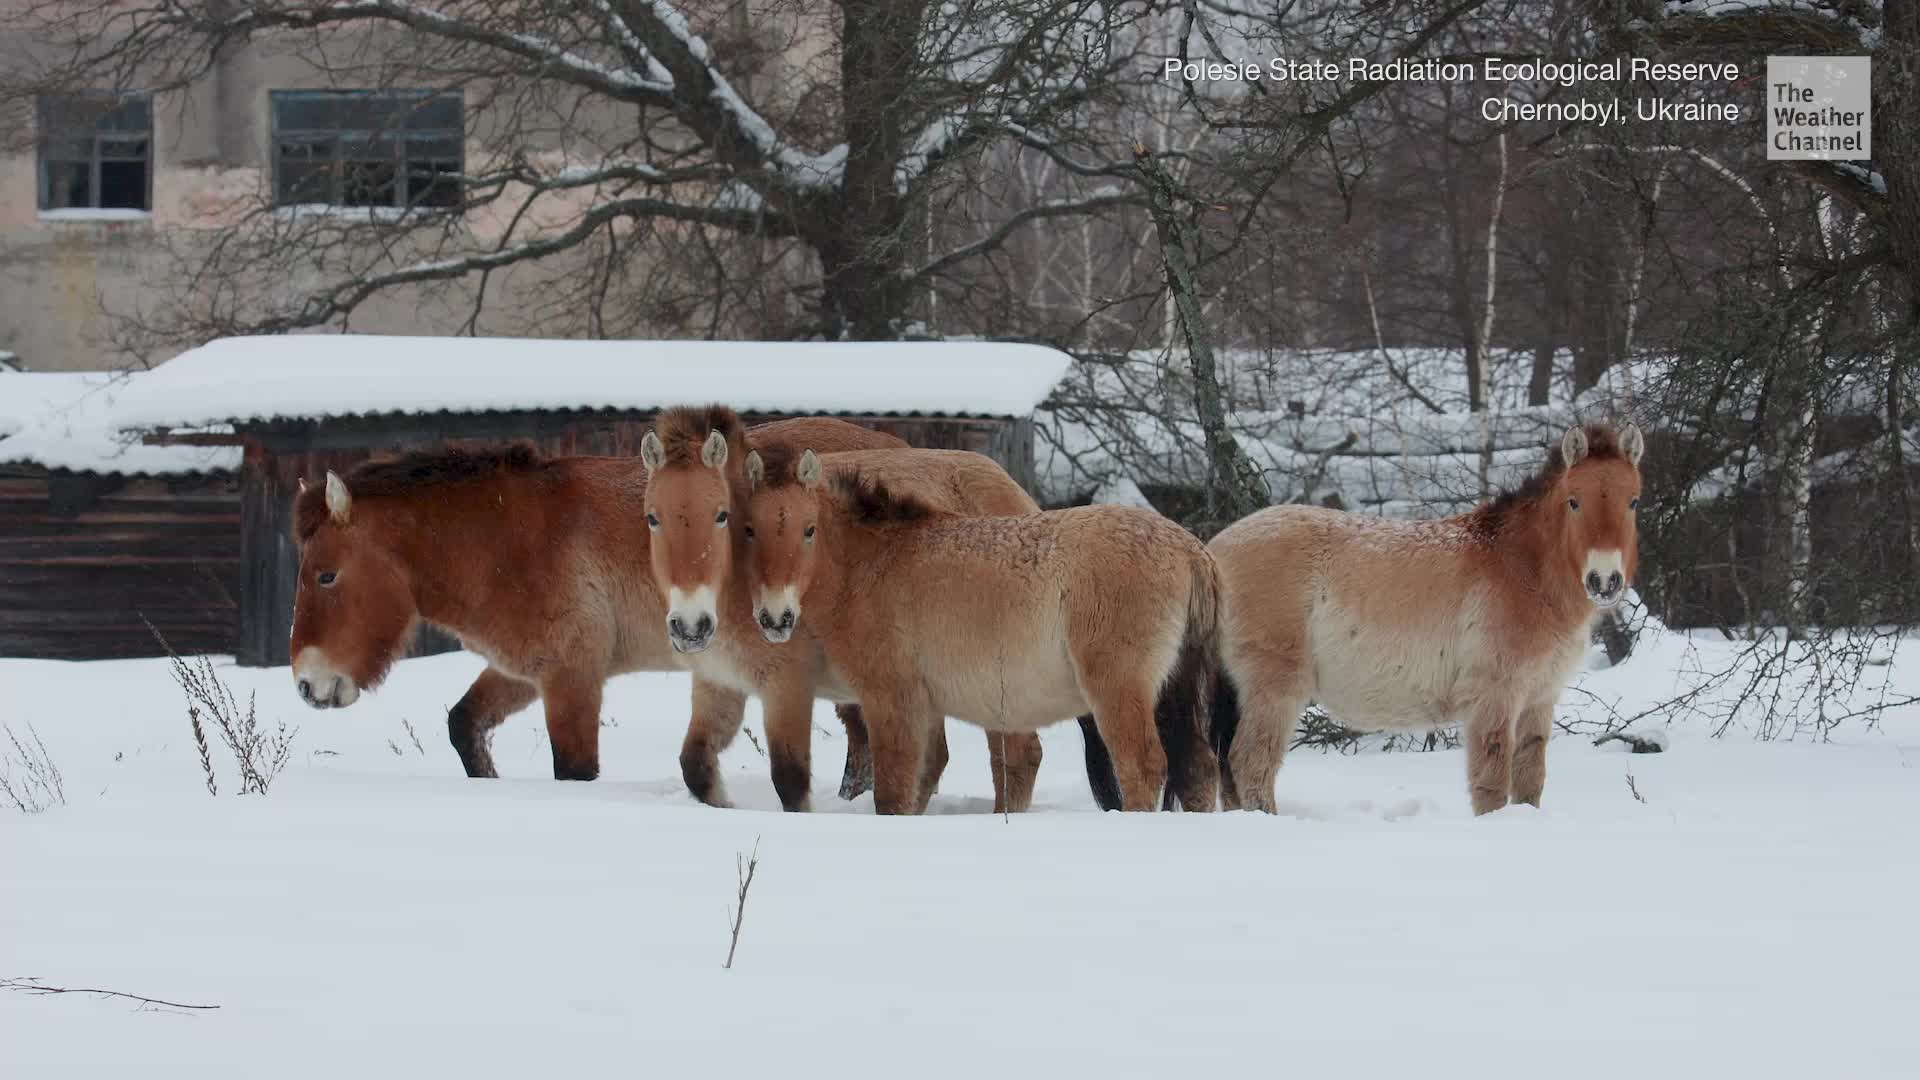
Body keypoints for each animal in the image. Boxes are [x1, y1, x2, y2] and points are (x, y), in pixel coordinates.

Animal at [286, 415, 900, 786]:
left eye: (326, 576)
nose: (308, 684)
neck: (511, 536)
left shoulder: (572, 678)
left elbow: (575, 769)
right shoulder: (523, 671)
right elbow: (465, 726)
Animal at [638, 406, 1073, 814]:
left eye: (721, 514)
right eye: (652, 517)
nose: (690, 627)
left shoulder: (789, 683)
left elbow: (791, 778)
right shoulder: (719, 681)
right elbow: (696, 763)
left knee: (1015, 755)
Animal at [739, 445, 1221, 814]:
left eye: (809, 530)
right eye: (749, 529)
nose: (776, 618)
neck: (876, 562)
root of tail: (1190, 549)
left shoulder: (891, 699)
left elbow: (893, 791)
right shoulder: (926, 706)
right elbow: (919, 782)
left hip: (1119, 692)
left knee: (1142, 766)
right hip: (1173, 691)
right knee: (1199, 770)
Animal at [1207, 422, 1645, 816]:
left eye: (1633, 502)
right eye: (1574, 501)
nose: (1604, 580)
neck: (1523, 568)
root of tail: (1213, 551)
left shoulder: (1539, 697)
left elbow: (1529, 781)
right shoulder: (1495, 697)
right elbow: (1491, 785)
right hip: (1273, 689)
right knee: (1250, 764)